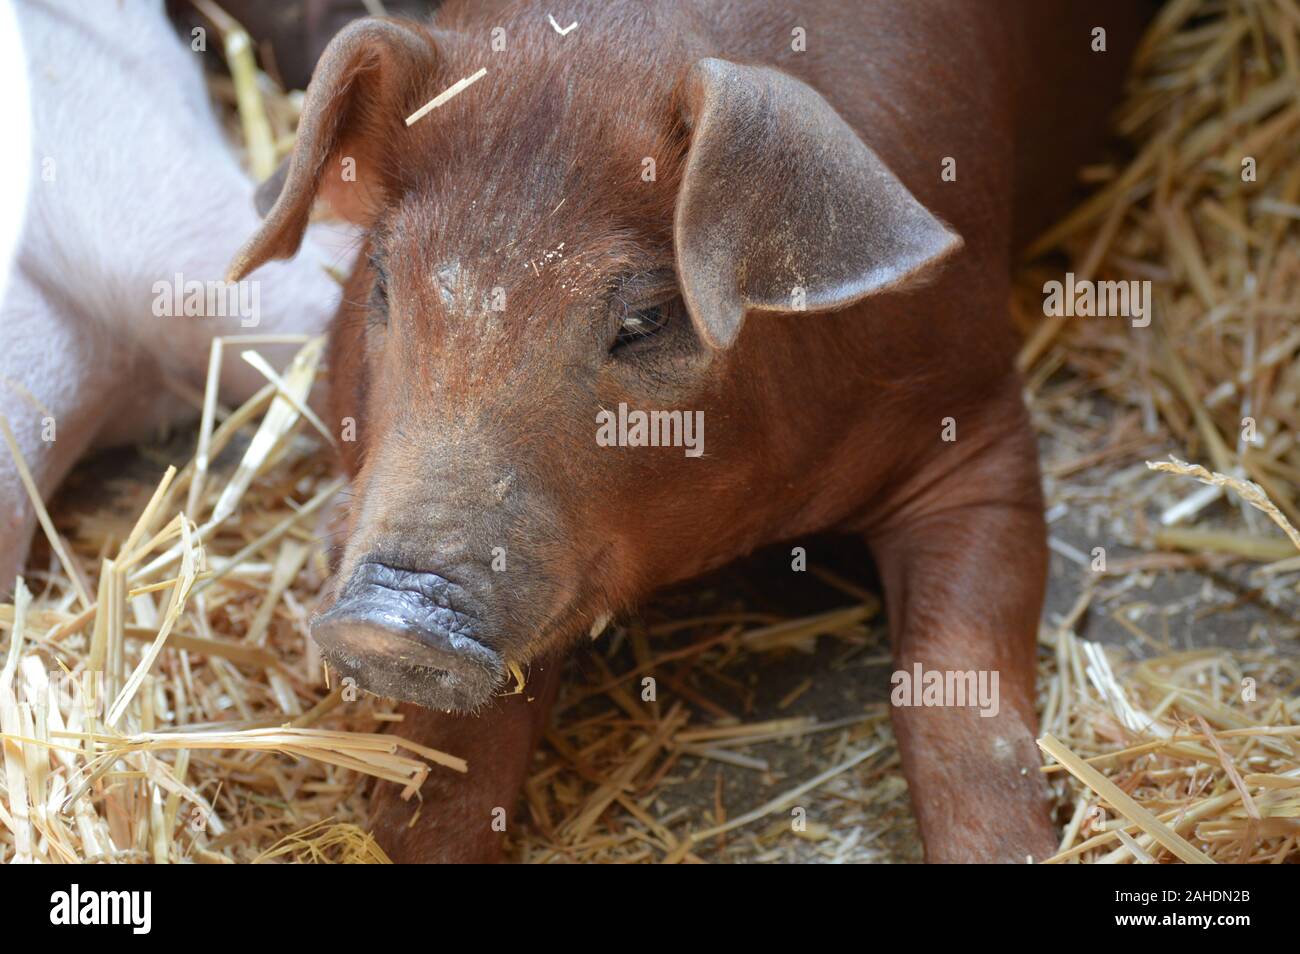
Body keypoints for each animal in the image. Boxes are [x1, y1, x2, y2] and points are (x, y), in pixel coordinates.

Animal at [229, 0, 1149, 862]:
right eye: (383, 279)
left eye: (646, 319)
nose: (386, 619)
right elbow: (455, 755)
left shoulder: (983, 431)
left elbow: (959, 698)